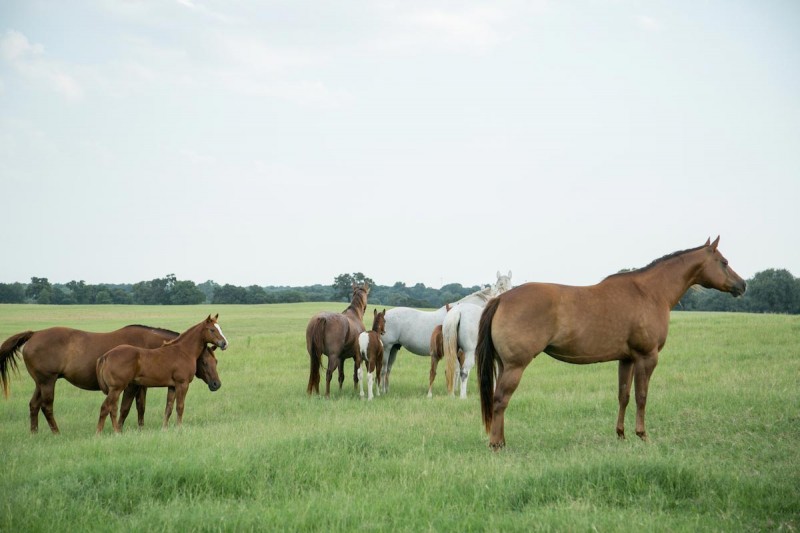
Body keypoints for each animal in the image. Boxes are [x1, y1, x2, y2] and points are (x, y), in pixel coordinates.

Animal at [0, 324, 221, 434]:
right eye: (205, 362)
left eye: (216, 361)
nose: (216, 384)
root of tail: (34, 334)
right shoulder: (131, 386)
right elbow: (125, 408)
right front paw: (120, 429)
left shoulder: (140, 386)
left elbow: (139, 407)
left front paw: (139, 428)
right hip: (48, 382)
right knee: (46, 406)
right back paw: (56, 432)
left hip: (41, 382)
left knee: (34, 405)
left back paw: (34, 432)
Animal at [96, 315, 228, 434]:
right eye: (212, 329)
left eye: (216, 361)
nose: (224, 343)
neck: (183, 351)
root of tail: (106, 356)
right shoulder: (182, 384)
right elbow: (180, 407)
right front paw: (179, 429)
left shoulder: (172, 386)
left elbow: (168, 408)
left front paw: (164, 429)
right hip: (116, 388)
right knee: (105, 408)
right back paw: (100, 434)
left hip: (116, 390)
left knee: (112, 409)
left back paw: (116, 432)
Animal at [380, 271, 512, 394]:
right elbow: (457, 370)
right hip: (387, 348)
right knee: (383, 369)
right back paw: (381, 391)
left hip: (394, 348)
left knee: (388, 369)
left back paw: (386, 390)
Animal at [476, 237, 746, 450]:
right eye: (724, 262)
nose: (742, 285)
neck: (649, 292)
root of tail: (501, 299)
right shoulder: (647, 357)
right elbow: (642, 396)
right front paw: (643, 436)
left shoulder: (626, 359)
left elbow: (623, 395)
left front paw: (621, 435)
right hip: (516, 366)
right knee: (500, 399)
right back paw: (496, 445)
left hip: (504, 365)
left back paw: (501, 441)